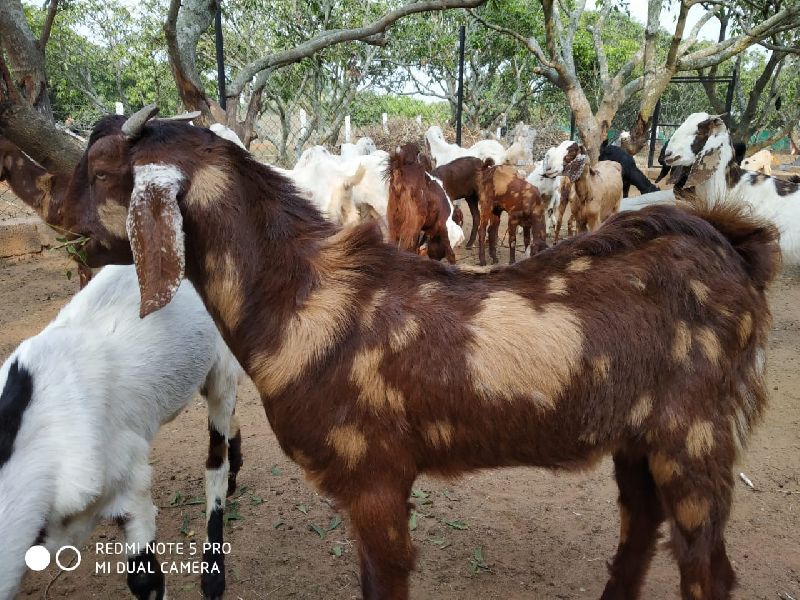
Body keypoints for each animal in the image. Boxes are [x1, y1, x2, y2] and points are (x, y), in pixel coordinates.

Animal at [57, 106, 781, 600]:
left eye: (102, 171)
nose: (62, 226)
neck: (301, 297)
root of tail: (733, 248)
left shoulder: (375, 480)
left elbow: (385, 579)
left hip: (696, 440)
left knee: (707, 568)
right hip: (639, 440)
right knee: (640, 527)